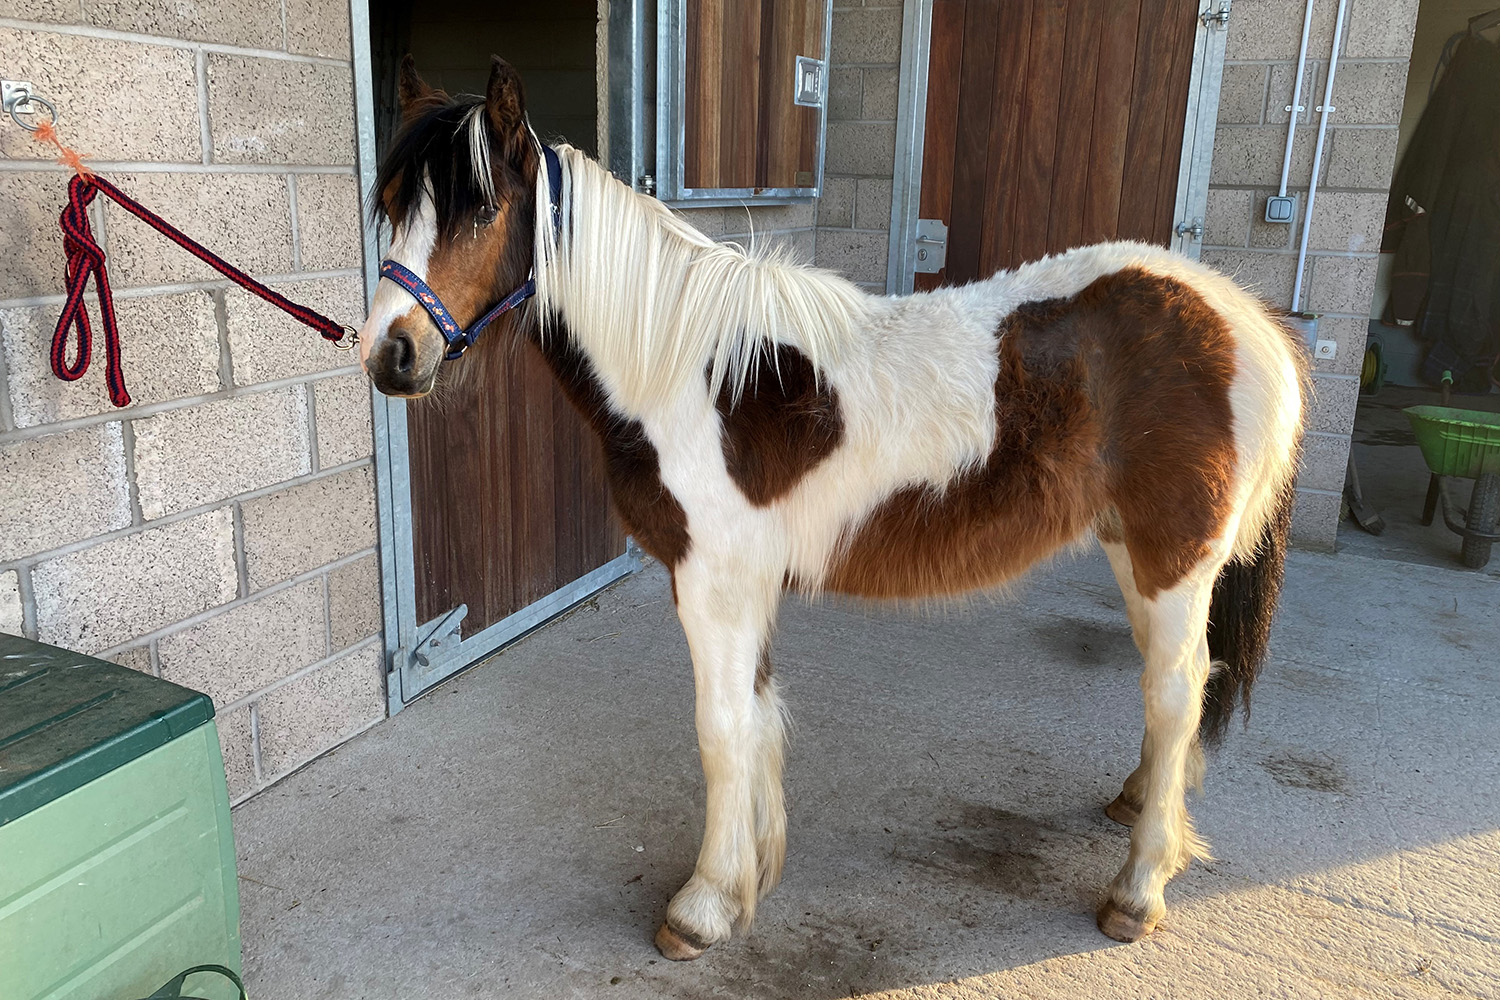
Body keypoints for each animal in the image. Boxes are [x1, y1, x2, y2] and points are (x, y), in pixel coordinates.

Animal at [359, 55, 1306, 959]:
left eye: (481, 212)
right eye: (394, 208)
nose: (389, 355)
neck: (686, 372)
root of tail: (1245, 319)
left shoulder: (712, 583)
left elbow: (721, 730)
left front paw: (703, 908)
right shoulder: (743, 586)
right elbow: (756, 723)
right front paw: (750, 876)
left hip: (1173, 557)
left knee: (1176, 693)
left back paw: (1138, 890)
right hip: (1133, 552)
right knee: (1174, 687)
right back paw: (1145, 806)